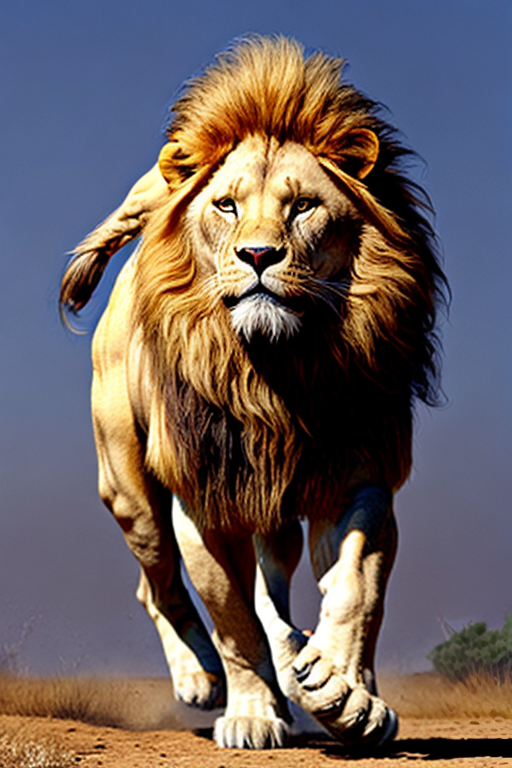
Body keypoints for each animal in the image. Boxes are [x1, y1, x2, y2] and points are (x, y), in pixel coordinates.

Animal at [60, 37, 447, 750]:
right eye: (227, 205)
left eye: (303, 206)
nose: (259, 255)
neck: (277, 373)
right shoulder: (203, 502)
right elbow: (232, 619)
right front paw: (251, 713)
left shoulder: (359, 476)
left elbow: (357, 588)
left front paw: (347, 693)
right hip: (133, 496)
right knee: (157, 587)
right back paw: (200, 679)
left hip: (274, 518)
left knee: (274, 593)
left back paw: (299, 660)